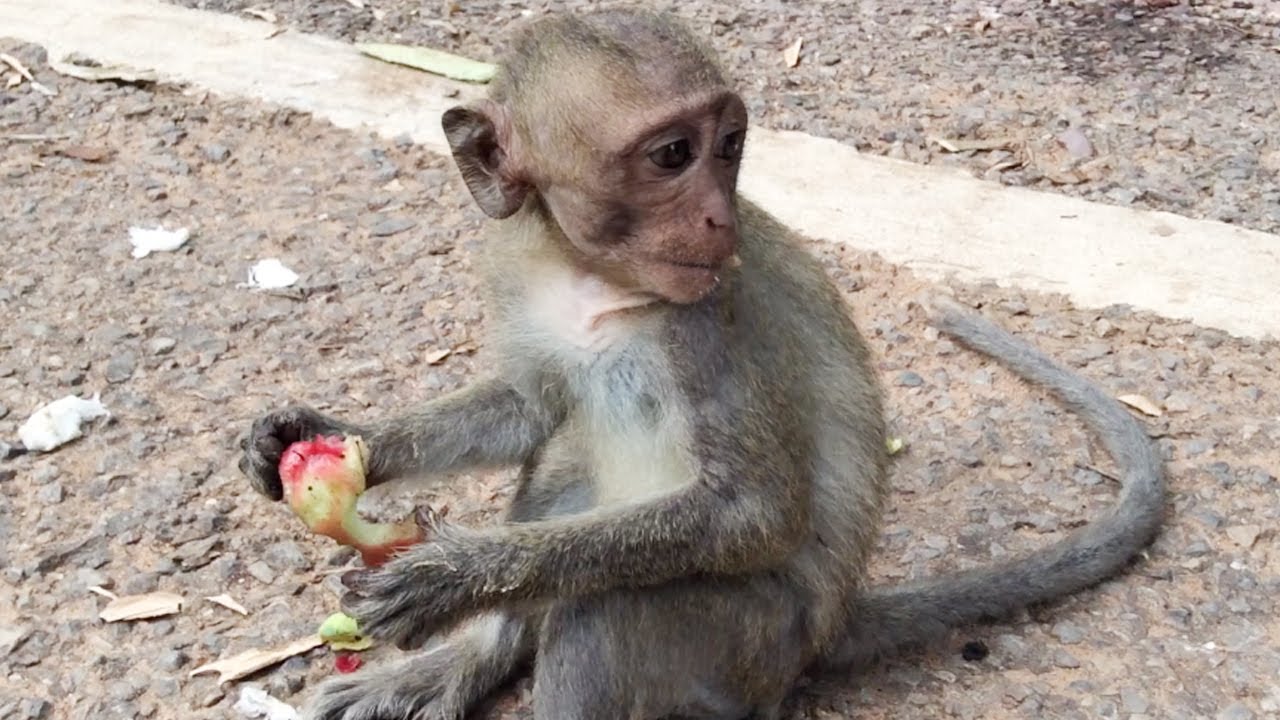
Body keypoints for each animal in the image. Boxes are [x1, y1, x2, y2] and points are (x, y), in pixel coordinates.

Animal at [237, 9, 1165, 720]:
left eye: (730, 145)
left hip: (746, 646)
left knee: (608, 604)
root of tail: (828, 629)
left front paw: (458, 575)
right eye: (673, 155)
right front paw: (318, 436)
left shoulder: (707, 324)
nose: (719, 216)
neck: (593, 279)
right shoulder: (510, 264)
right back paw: (474, 660)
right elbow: (528, 407)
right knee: (564, 461)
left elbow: (751, 513)